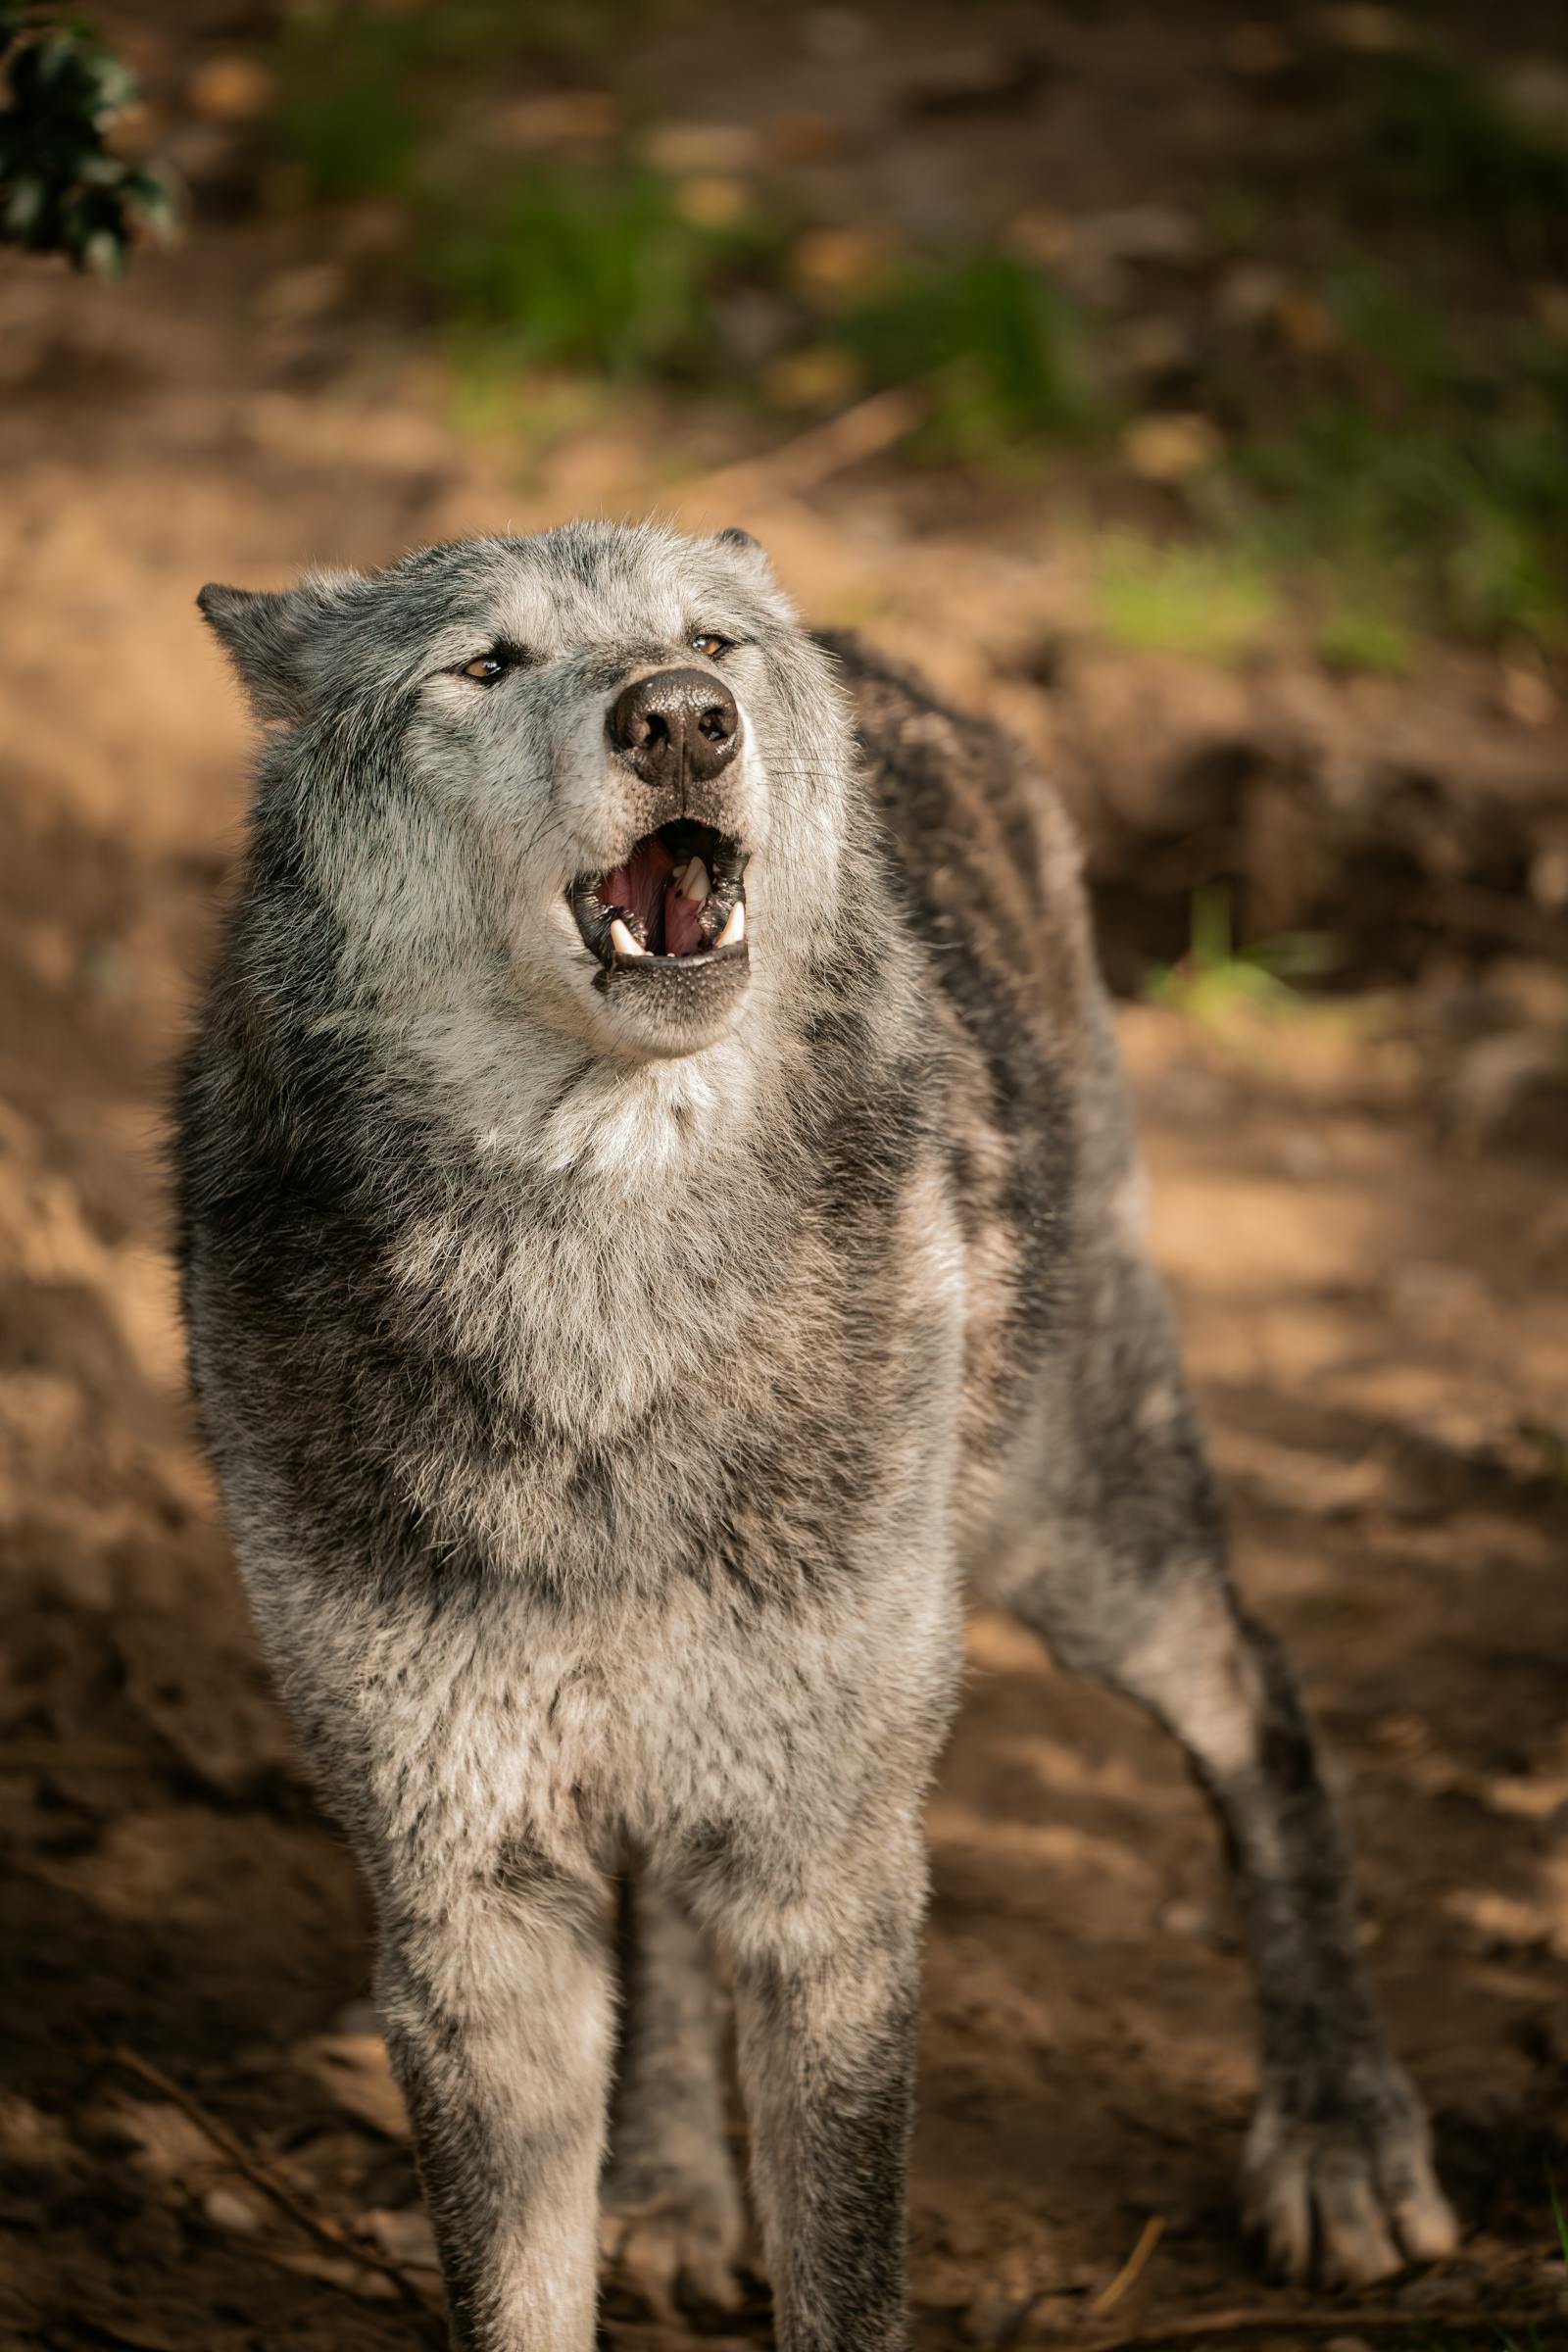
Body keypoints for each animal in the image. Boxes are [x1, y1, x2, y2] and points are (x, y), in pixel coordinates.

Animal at [177, 522, 1456, 2352]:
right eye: (484, 666)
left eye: (709, 643)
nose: (680, 717)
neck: (602, 1302)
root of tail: (902, 664)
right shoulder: (470, 1904)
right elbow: (518, 2286)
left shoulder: (833, 1883)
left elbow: (848, 2281)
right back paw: (666, 2187)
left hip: (1076, 1539)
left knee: (1262, 1698)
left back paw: (1343, 2135)